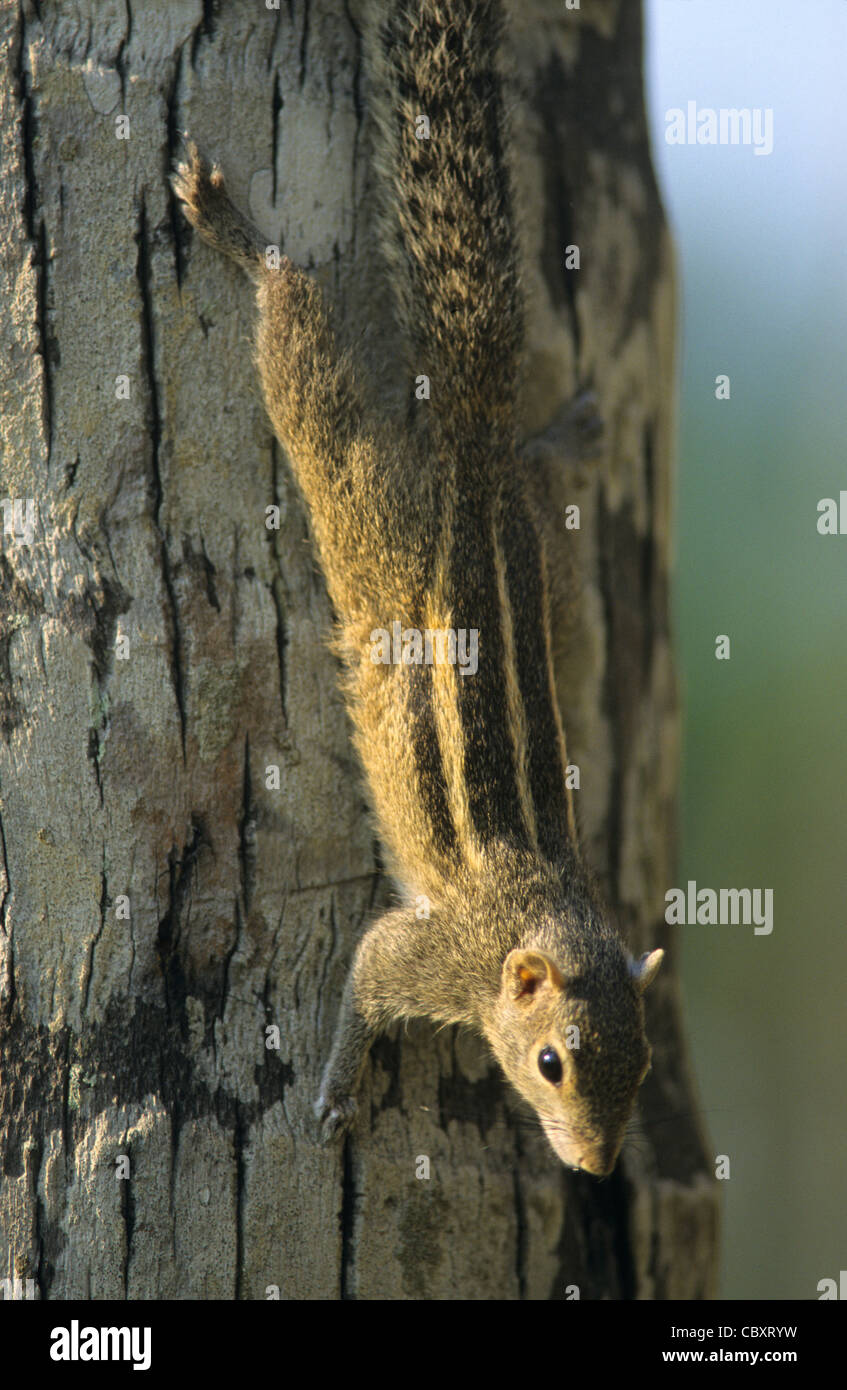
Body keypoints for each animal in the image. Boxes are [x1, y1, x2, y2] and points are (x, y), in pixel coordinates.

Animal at [172, 0, 663, 1177]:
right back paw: (231, 231)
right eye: (551, 1063)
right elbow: (365, 975)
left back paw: (572, 433)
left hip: (541, 554)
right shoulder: (430, 951)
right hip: (364, 501)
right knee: (298, 343)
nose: (595, 1167)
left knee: (535, 466)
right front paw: (337, 1092)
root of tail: (471, 442)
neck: (539, 915)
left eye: (644, 1068)